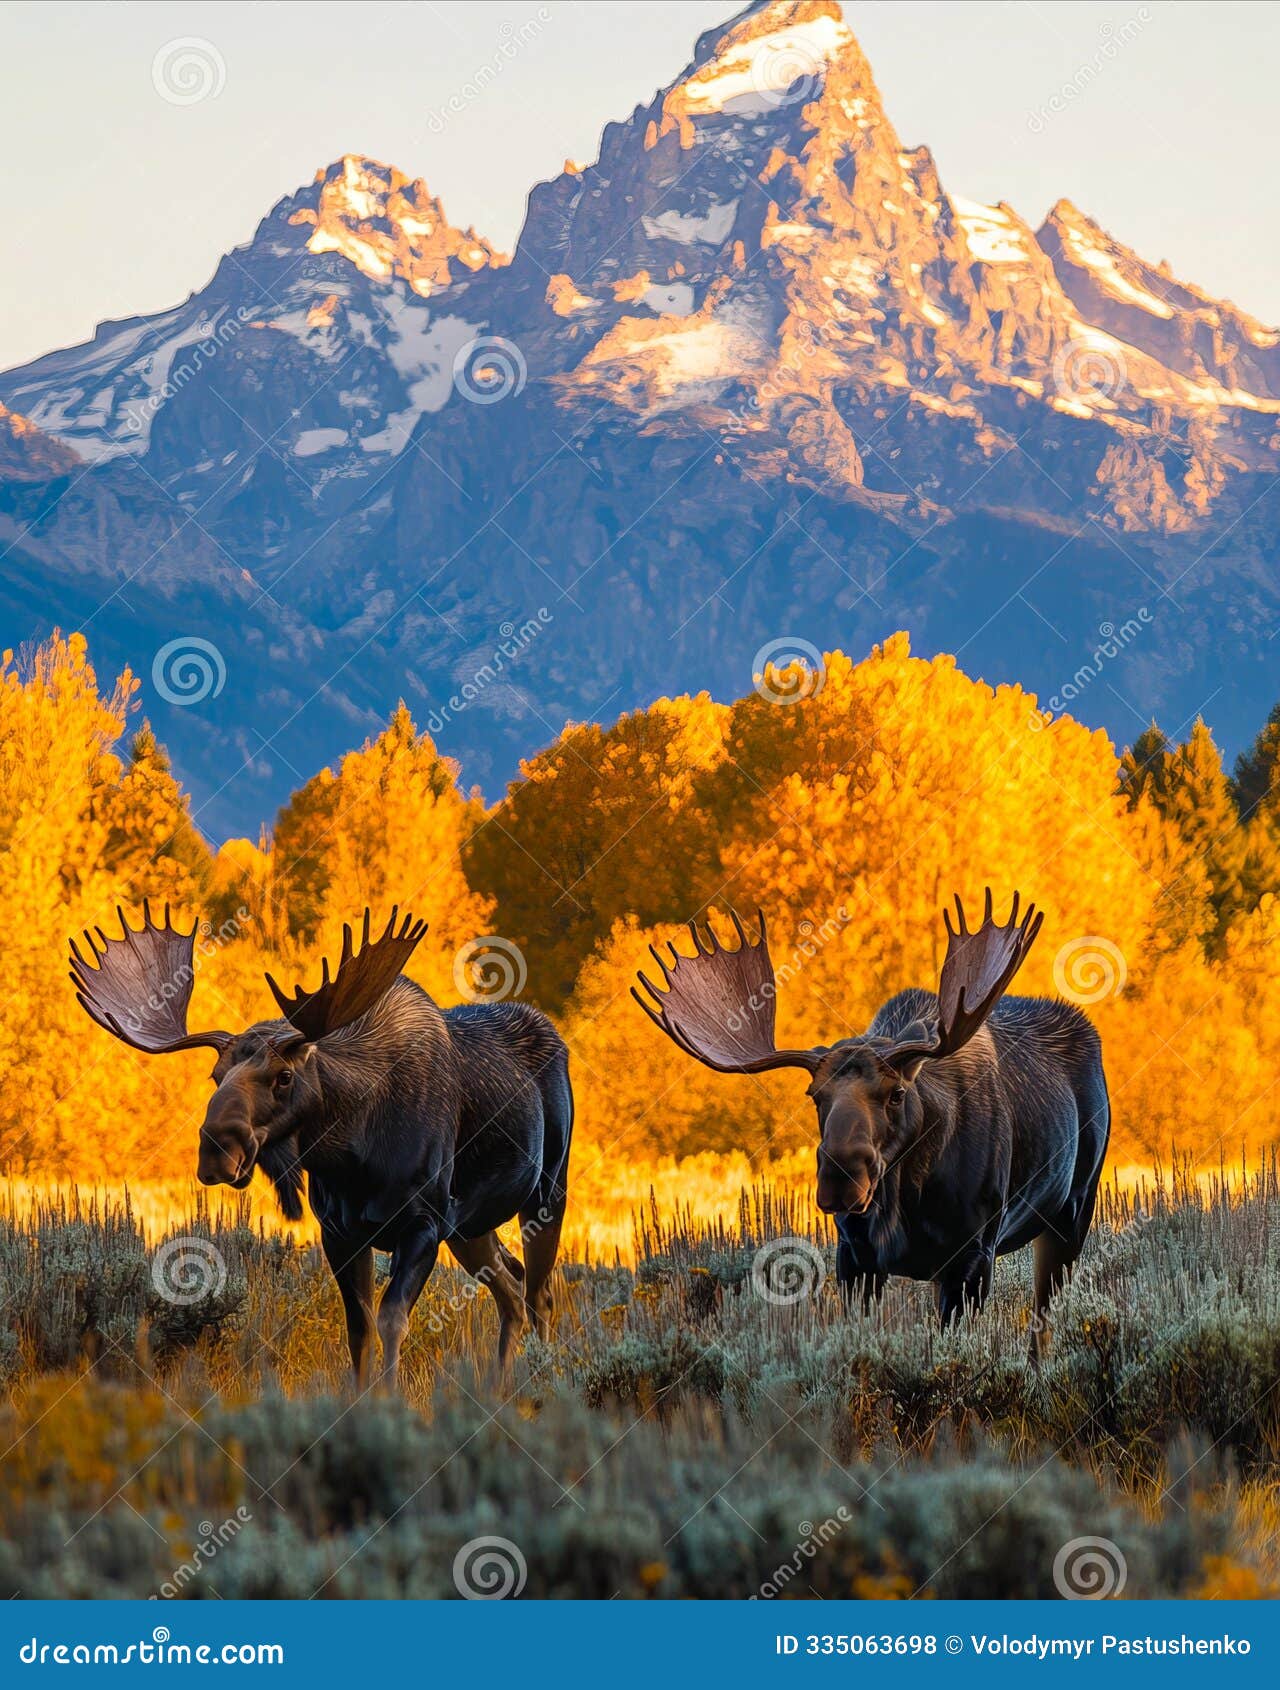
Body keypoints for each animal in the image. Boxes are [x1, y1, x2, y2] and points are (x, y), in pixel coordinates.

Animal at [69, 904, 572, 1389]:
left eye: (284, 1076)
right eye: (216, 1075)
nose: (216, 1153)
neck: (354, 1161)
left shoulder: (424, 1222)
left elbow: (392, 1320)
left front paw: (390, 1399)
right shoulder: (340, 1231)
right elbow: (359, 1328)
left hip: (546, 1193)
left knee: (540, 1294)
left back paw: (543, 1383)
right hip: (470, 1226)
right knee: (511, 1287)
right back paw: (500, 1388)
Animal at [634, 892, 1109, 1341]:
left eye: (896, 1093)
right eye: (814, 1096)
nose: (841, 1177)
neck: (905, 1200)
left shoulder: (974, 1253)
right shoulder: (855, 1254)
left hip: (1073, 1211)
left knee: (1042, 1326)